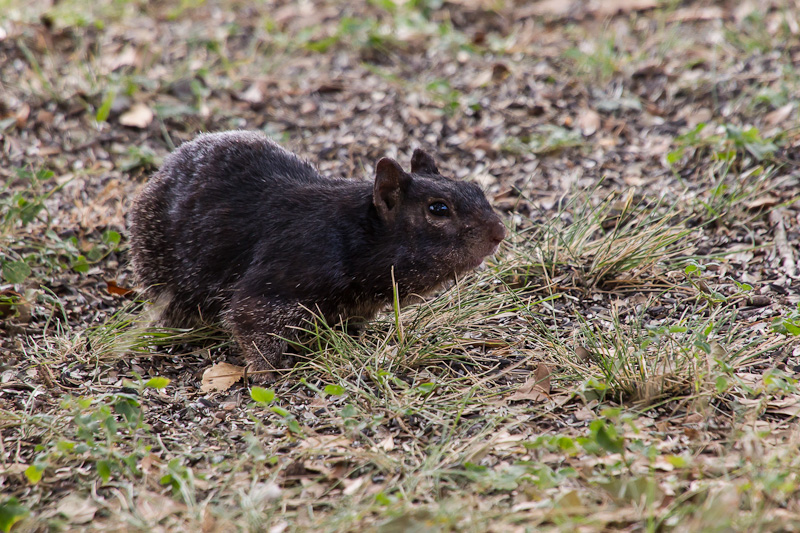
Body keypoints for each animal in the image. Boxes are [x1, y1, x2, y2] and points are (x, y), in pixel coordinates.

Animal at [129, 131, 506, 382]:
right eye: (438, 209)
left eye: (476, 188)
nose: (499, 232)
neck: (351, 234)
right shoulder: (281, 278)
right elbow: (251, 322)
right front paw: (265, 373)